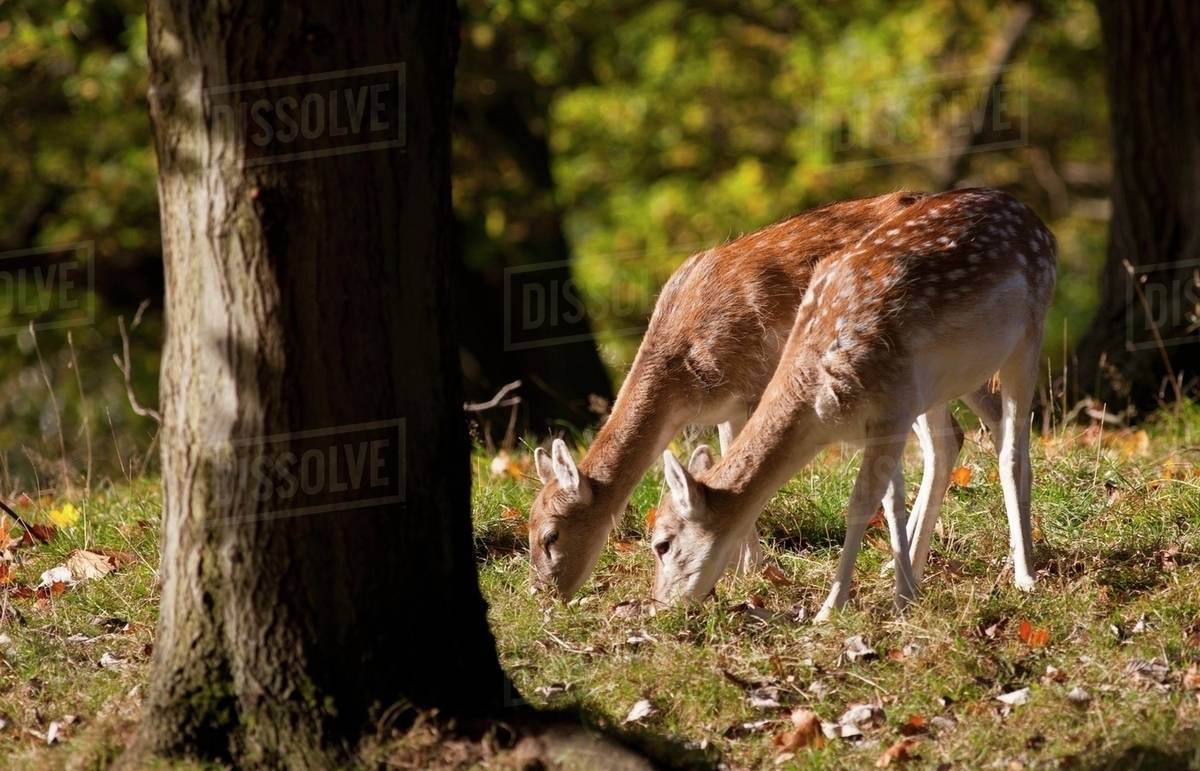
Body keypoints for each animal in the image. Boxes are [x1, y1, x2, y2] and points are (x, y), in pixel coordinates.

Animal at [529, 190, 1004, 601]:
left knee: (974, 425)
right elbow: (722, 458)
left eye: (552, 534)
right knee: (951, 436)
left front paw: (754, 574)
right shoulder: (727, 405)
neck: (685, 380)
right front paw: (745, 569)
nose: (541, 594)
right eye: (528, 530)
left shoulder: (755, 387)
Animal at [650, 188, 1056, 619]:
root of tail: (1037, 220)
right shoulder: (881, 423)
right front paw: (904, 595)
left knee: (1011, 450)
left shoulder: (892, 407)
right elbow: (892, 500)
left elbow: (860, 504)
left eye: (663, 543)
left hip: (1029, 334)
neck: (821, 416)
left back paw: (1026, 576)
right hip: (936, 386)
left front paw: (831, 609)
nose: (658, 607)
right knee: (951, 446)